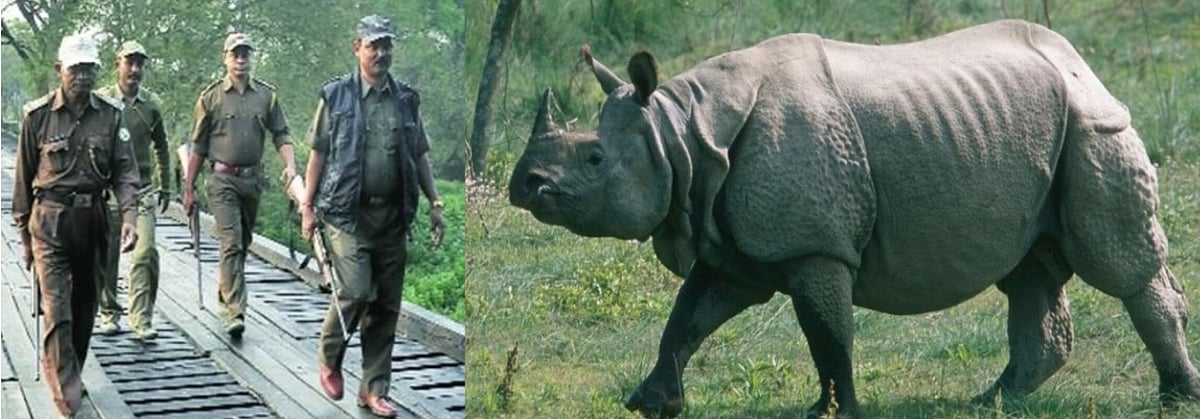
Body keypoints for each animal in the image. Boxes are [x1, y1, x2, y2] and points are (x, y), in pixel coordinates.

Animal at [507, 20, 1200, 417]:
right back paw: (990, 401)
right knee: (1028, 268)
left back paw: (1175, 396)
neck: (682, 135)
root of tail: (1082, 61)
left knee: (1118, 264)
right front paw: (651, 404)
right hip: (1036, 126)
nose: (524, 185)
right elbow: (688, 318)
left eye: (594, 159)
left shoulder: (815, 245)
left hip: (1092, 123)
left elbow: (826, 332)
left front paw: (833, 412)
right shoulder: (731, 242)